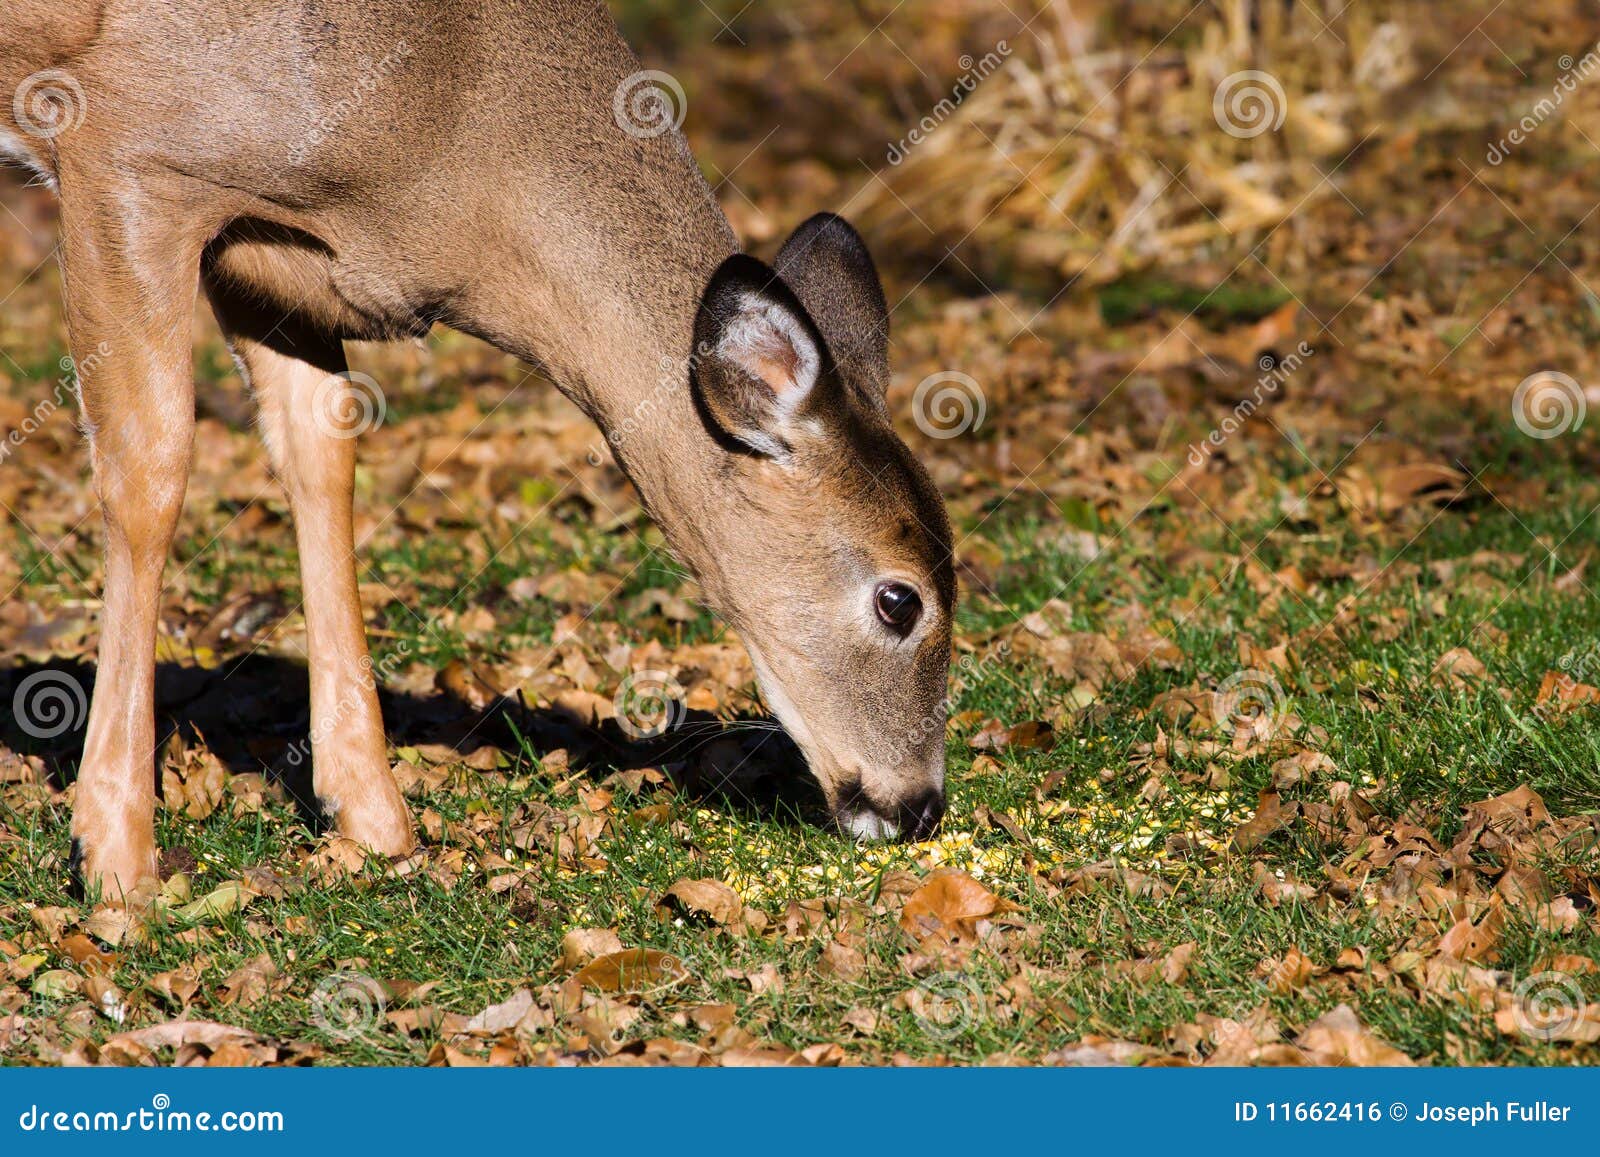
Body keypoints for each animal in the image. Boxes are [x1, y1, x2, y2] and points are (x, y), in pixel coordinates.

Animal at [1, 0, 956, 899]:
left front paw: (375, 820)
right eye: (898, 600)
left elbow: (322, 455)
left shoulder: (271, 258)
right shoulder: (131, 154)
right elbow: (150, 471)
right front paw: (115, 856)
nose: (919, 805)